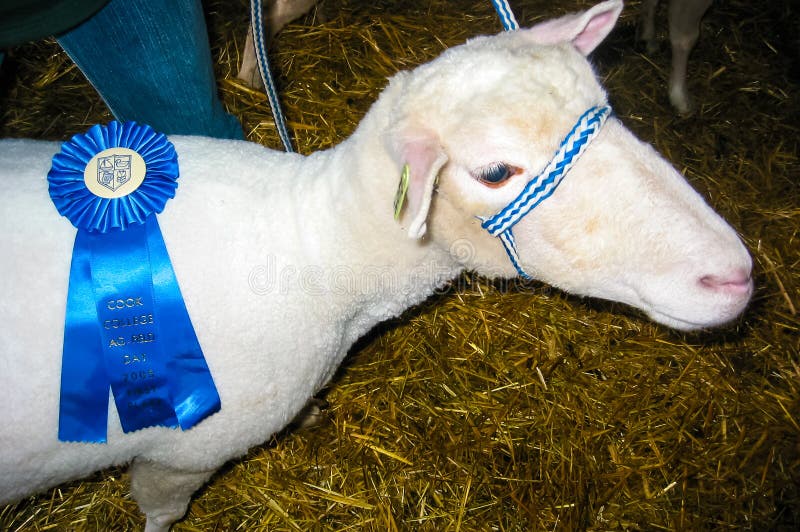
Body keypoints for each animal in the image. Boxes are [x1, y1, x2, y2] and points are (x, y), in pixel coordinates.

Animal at [0, 1, 752, 530]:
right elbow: (161, 512)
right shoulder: (179, 455)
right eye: (495, 172)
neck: (317, 248)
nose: (735, 275)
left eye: (603, 107)